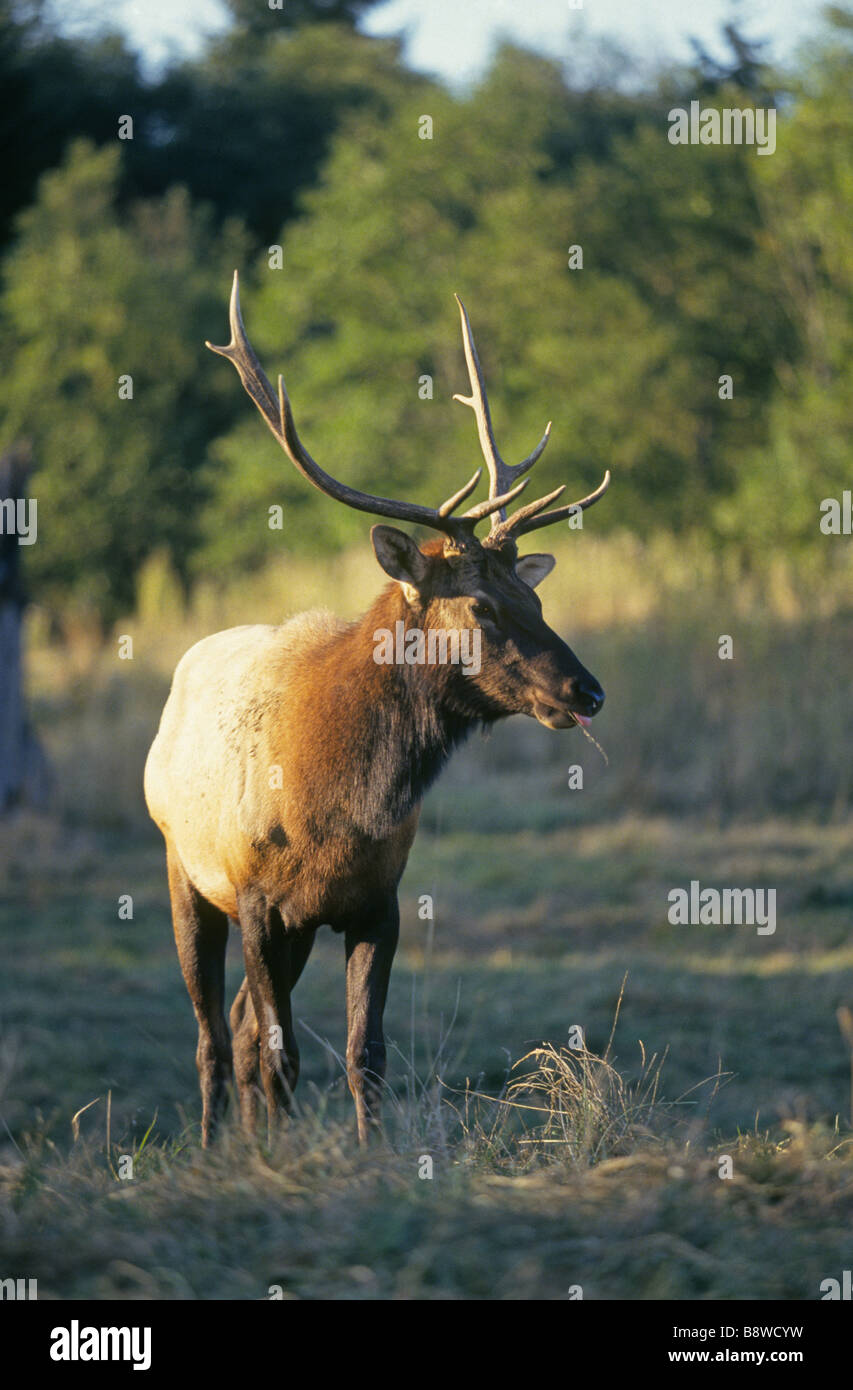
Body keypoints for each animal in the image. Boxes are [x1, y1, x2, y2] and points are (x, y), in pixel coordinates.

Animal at [144, 273, 610, 1147]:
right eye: (482, 607)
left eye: (533, 595)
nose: (585, 691)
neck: (340, 802)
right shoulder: (257, 899)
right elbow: (284, 1053)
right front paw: (283, 1162)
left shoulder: (376, 900)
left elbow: (366, 1052)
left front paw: (368, 1157)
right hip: (184, 871)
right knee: (213, 1035)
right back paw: (216, 1146)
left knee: (241, 1025)